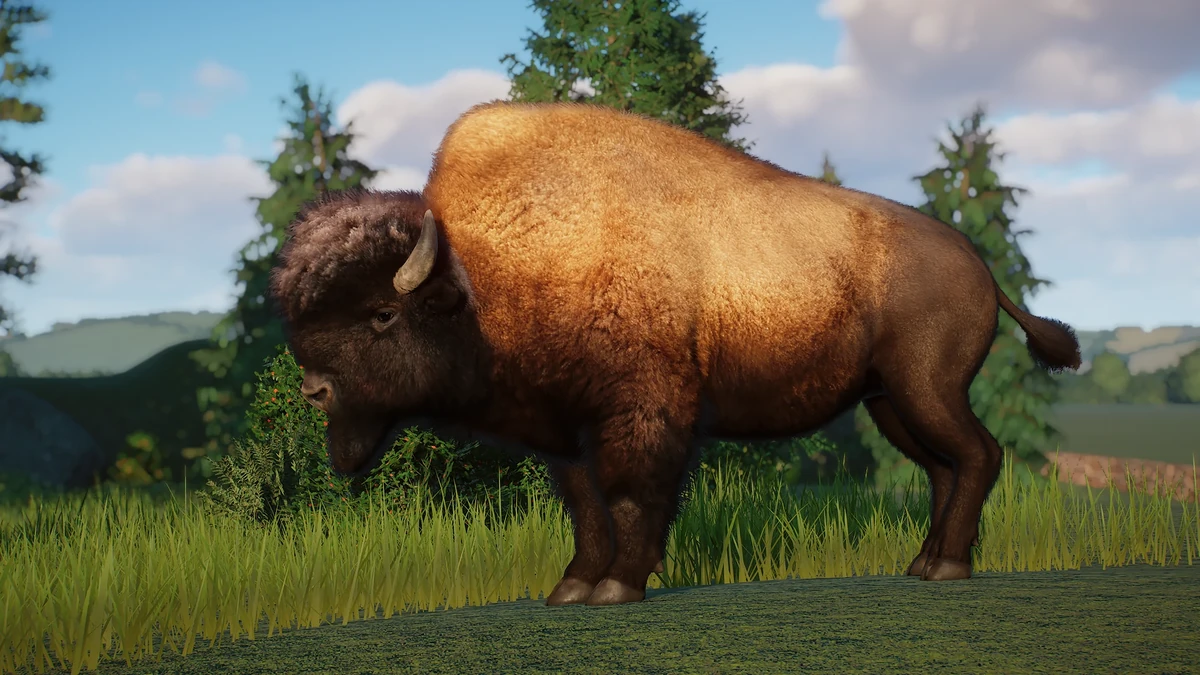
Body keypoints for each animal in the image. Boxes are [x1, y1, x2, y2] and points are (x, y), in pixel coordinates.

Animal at [269, 100, 1081, 607]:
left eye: (381, 313)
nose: (313, 390)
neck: (486, 272)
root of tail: (979, 266)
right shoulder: (567, 429)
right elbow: (585, 506)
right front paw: (571, 587)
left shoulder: (644, 412)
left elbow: (632, 495)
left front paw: (619, 586)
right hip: (888, 402)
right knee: (945, 467)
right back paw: (924, 564)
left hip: (925, 388)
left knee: (977, 455)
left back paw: (948, 568)